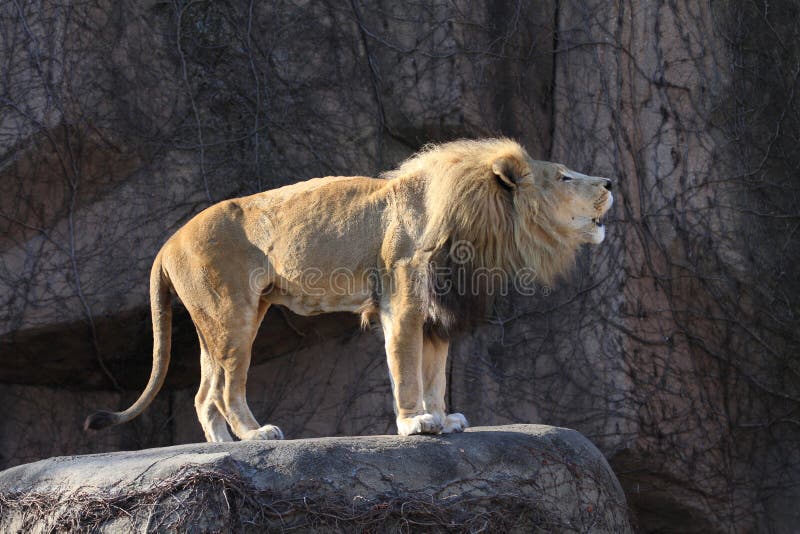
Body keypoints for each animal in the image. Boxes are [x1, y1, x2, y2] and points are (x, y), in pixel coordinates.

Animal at [85, 138, 612, 441]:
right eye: (564, 176)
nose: (609, 180)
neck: (478, 229)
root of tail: (167, 242)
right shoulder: (402, 303)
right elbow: (407, 370)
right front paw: (415, 423)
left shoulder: (438, 314)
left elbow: (435, 375)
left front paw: (444, 418)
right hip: (233, 316)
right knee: (226, 389)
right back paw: (255, 436)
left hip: (220, 320)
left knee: (202, 393)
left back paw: (223, 447)